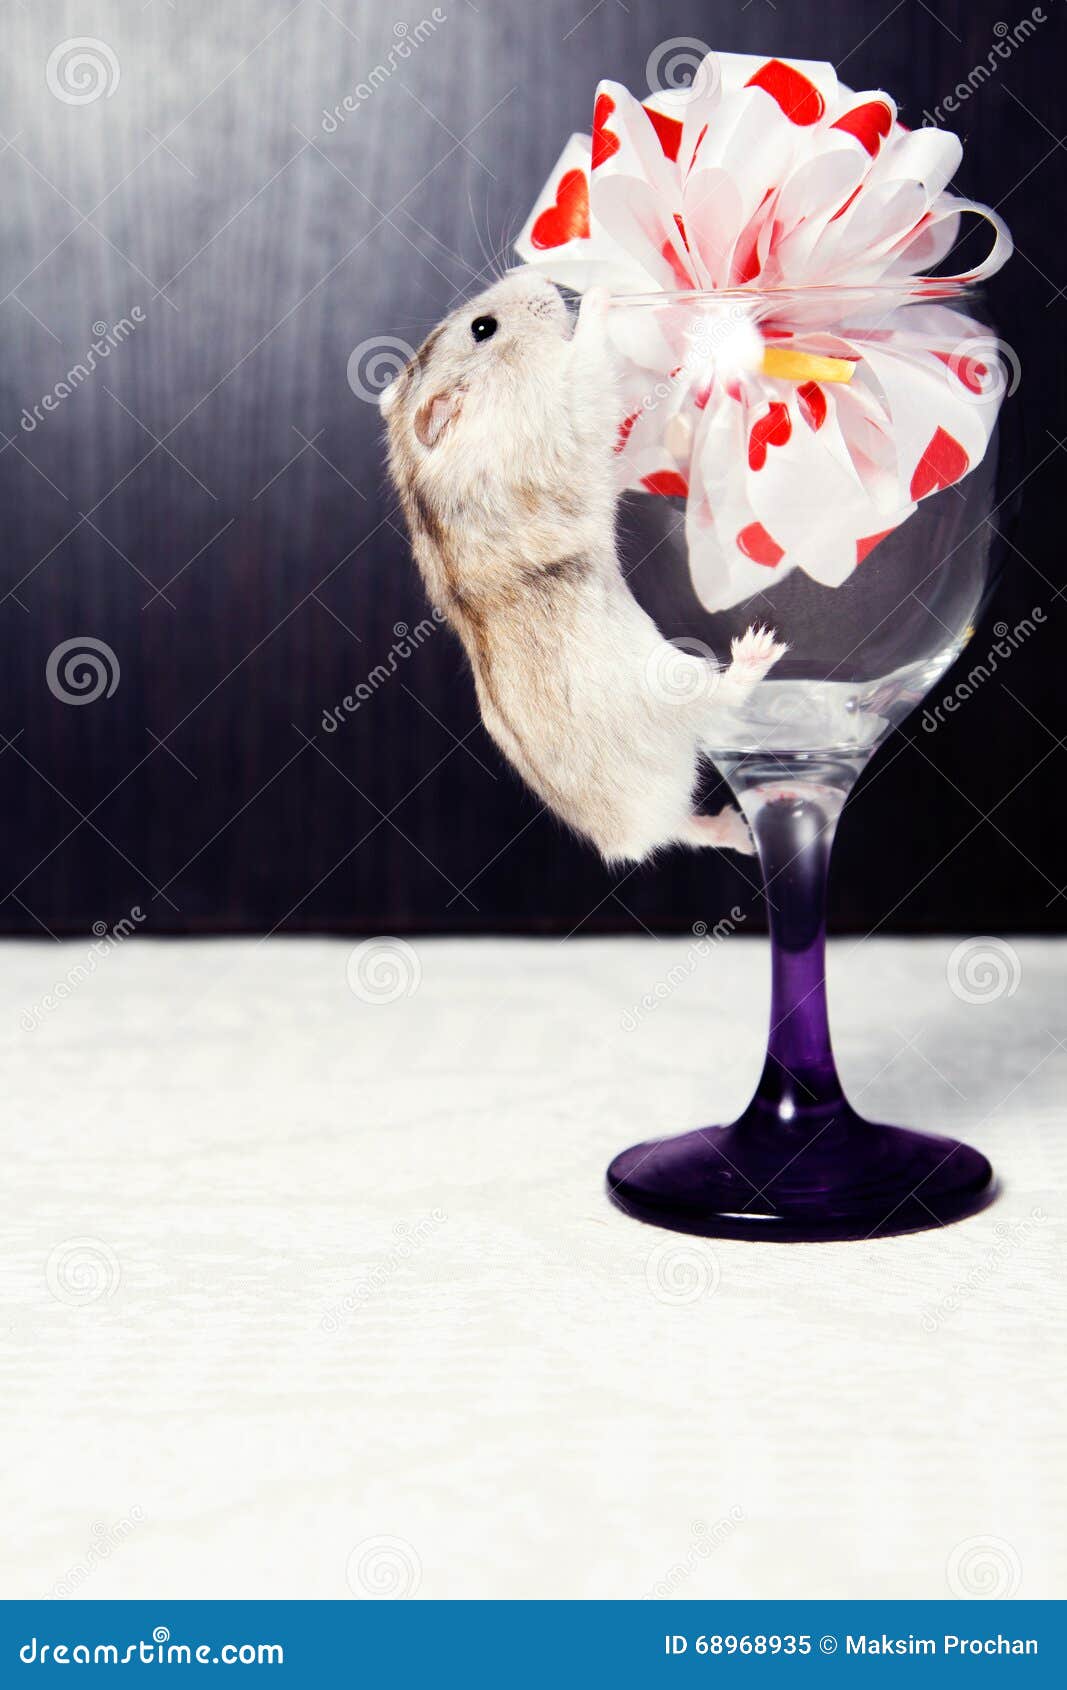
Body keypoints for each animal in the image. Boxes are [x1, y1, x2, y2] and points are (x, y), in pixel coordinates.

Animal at [380, 271, 785, 865]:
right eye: (483, 328)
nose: (537, 276)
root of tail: (631, 834)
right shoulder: (565, 411)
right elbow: (586, 361)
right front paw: (597, 295)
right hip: (668, 688)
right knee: (721, 699)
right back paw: (759, 648)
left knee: (684, 830)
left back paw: (736, 832)